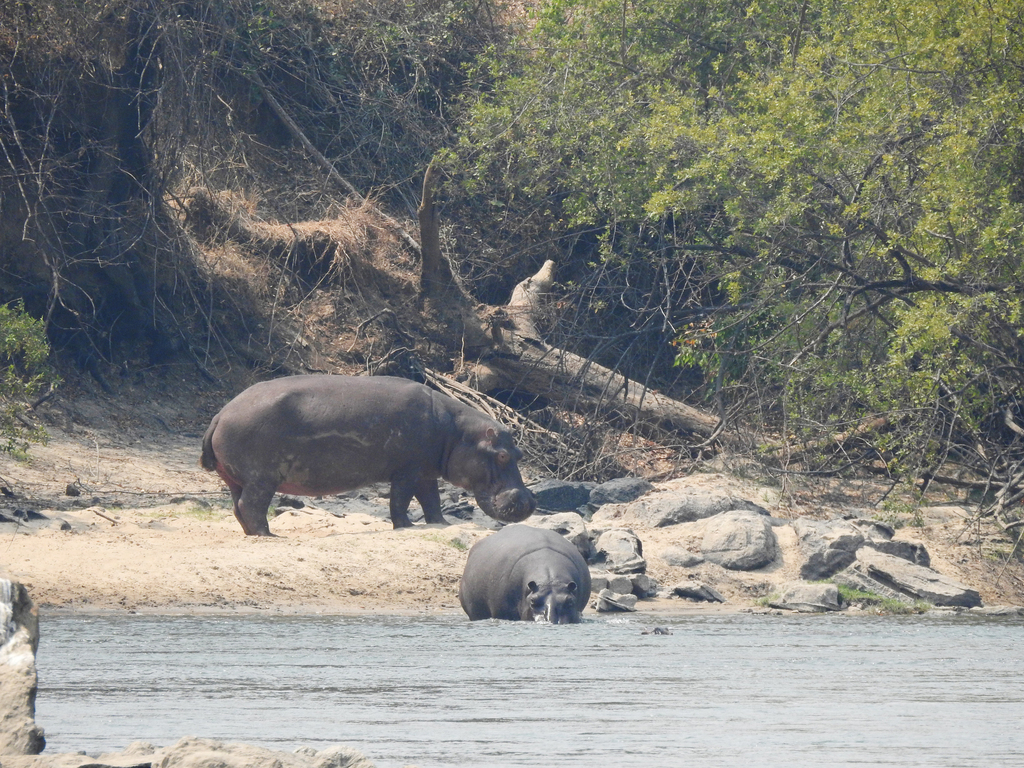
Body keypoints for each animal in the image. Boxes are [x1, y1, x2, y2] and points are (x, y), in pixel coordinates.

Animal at [200, 375, 536, 535]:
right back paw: (269, 536)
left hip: (236, 479)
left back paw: (256, 534)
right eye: (502, 456)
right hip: (261, 478)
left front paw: (441, 524)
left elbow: (432, 501)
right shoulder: (407, 472)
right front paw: (407, 527)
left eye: (519, 453)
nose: (530, 502)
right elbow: (400, 501)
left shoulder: (424, 472)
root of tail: (220, 414)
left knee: (237, 507)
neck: (457, 433)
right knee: (251, 506)